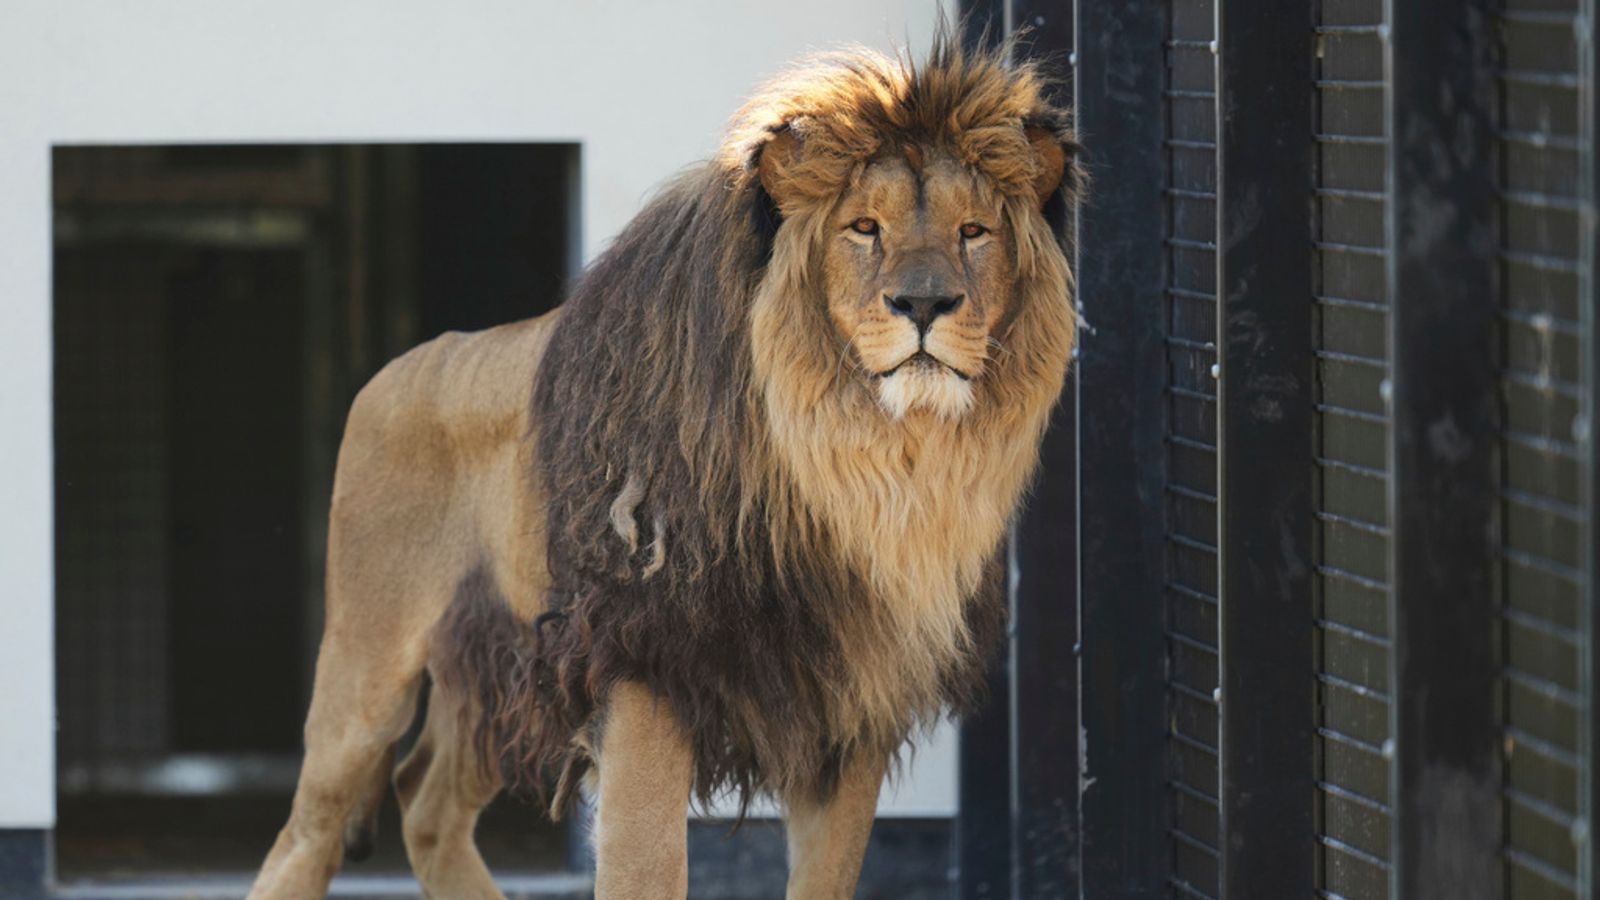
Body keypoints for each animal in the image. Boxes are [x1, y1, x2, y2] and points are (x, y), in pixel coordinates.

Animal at [247, 32, 1079, 900]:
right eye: (864, 227)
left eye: (974, 231)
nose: (924, 304)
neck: (860, 466)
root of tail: (398, 368)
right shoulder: (642, 655)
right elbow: (646, 865)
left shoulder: (853, 697)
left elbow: (827, 876)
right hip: (368, 666)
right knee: (310, 829)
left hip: (504, 667)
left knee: (424, 799)